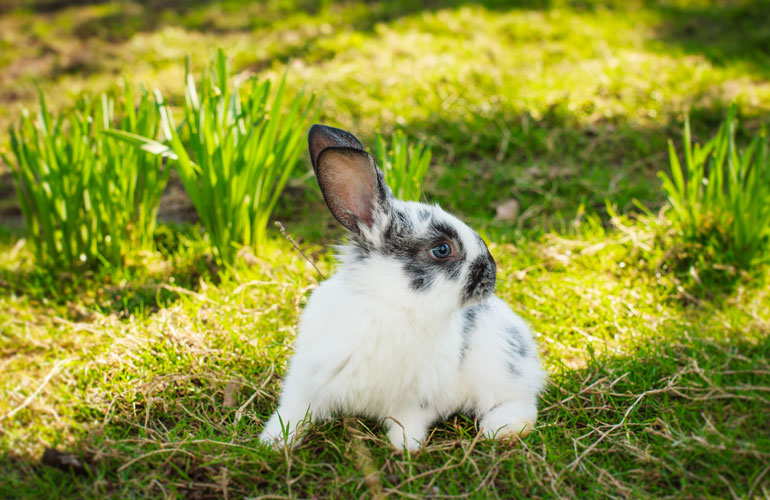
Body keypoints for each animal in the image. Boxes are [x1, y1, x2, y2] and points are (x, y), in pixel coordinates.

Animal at [259, 125, 545, 451]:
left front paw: (405, 447)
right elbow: (292, 412)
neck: (389, 303)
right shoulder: (307, 380)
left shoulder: (415, 399)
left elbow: (406, 422)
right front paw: (273, 442)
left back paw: (500, 430)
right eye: (442, 249)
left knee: (521, 401)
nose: (492, 273)